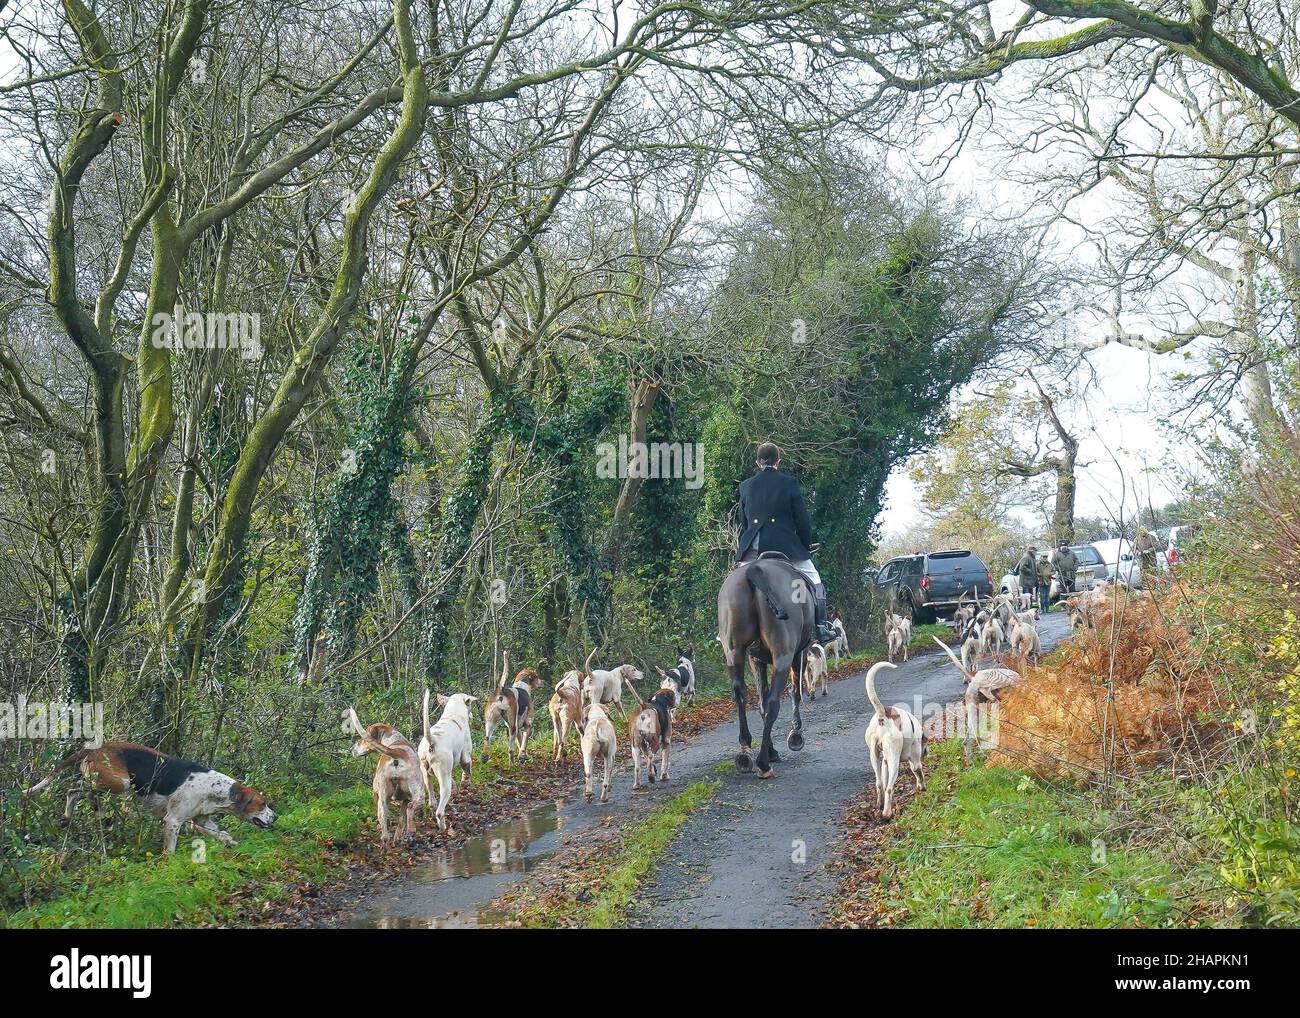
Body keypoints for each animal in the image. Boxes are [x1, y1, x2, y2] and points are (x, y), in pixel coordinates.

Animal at [717, 553, 815, 778]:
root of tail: (754, 570)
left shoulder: (756, 659)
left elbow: (760, 702)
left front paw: (771, 749)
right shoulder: (799, 653)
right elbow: (795, 692)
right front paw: (795, 735)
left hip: (734, 652)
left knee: (741, 694)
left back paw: (745, 752)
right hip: (783, 655)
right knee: (772, 703)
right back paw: (763, 763)